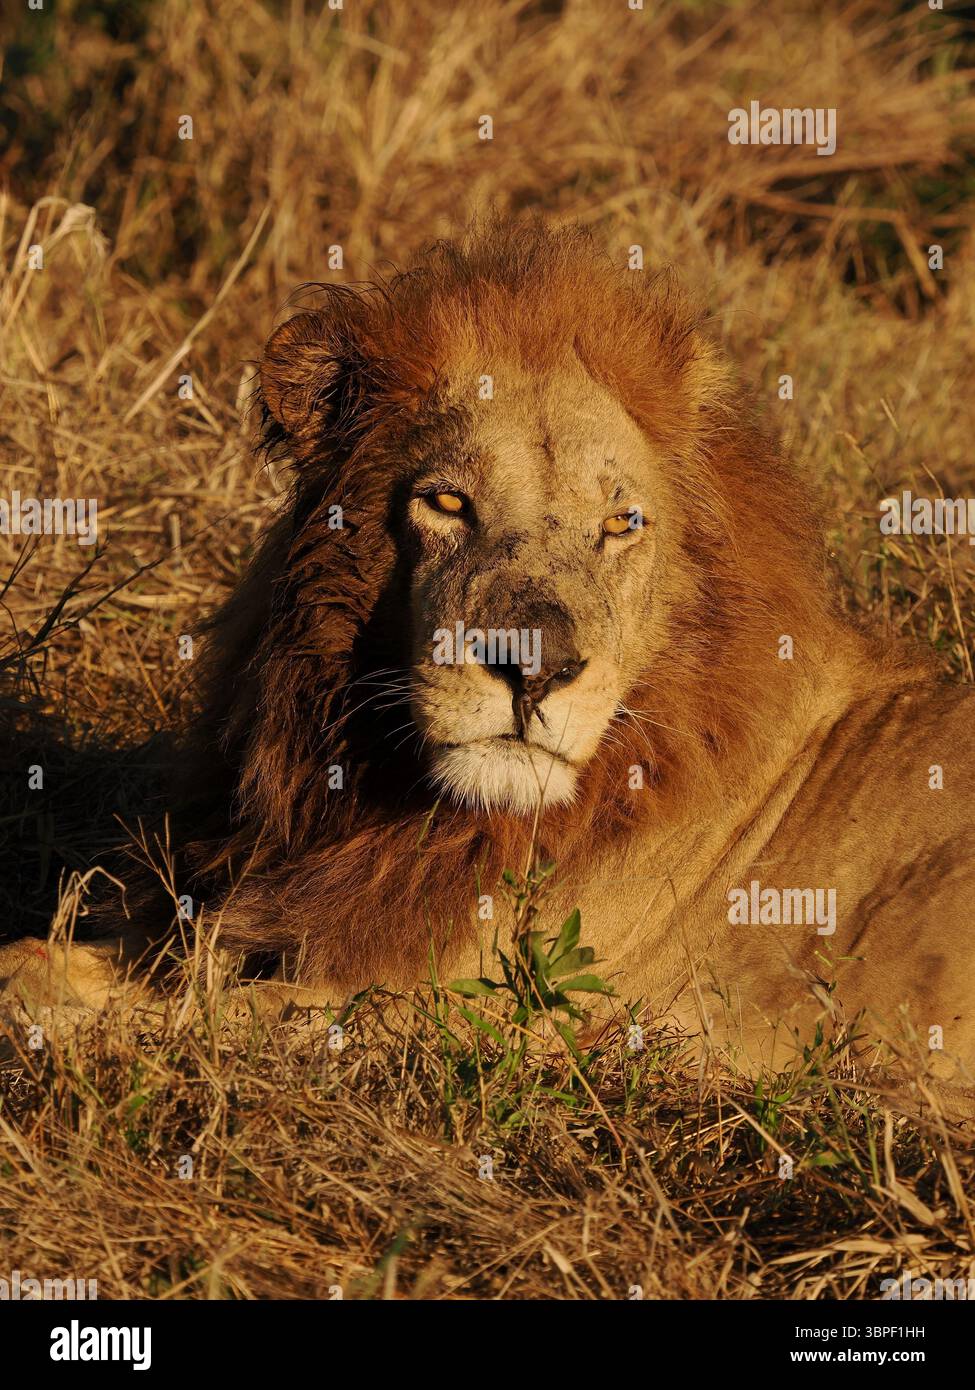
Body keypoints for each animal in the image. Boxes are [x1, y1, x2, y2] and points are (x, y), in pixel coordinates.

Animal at [3, 219, 974, 1084]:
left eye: (620, 523)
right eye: (447, 502)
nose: (534, 667)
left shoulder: (489, 1011)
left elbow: (189, 1019)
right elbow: (48, 956)